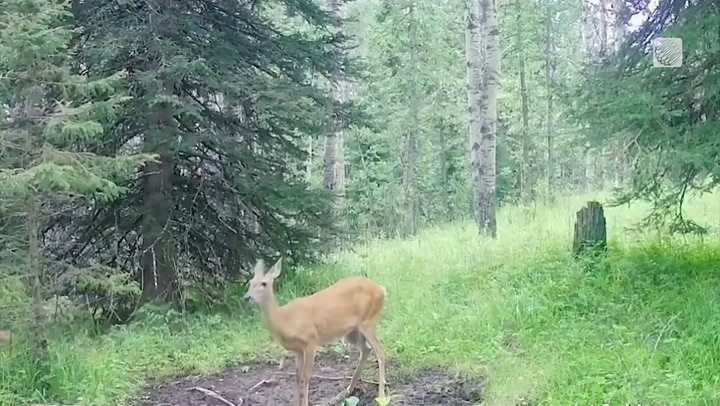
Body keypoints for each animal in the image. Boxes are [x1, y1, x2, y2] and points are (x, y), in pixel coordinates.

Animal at [244, 258, 387, 406]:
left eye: (264, 283)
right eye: (250, 282)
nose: (247, 297)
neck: (285, 319)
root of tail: (381, 289)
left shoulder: (310, 340)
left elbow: (307, 375)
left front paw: (305, 403)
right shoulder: (297, 350)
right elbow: (297, 376)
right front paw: (295, 403)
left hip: (368, 321)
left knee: (380, 352)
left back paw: (381, 396)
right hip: (352, 331)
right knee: (366, 349)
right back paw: (347, 391)